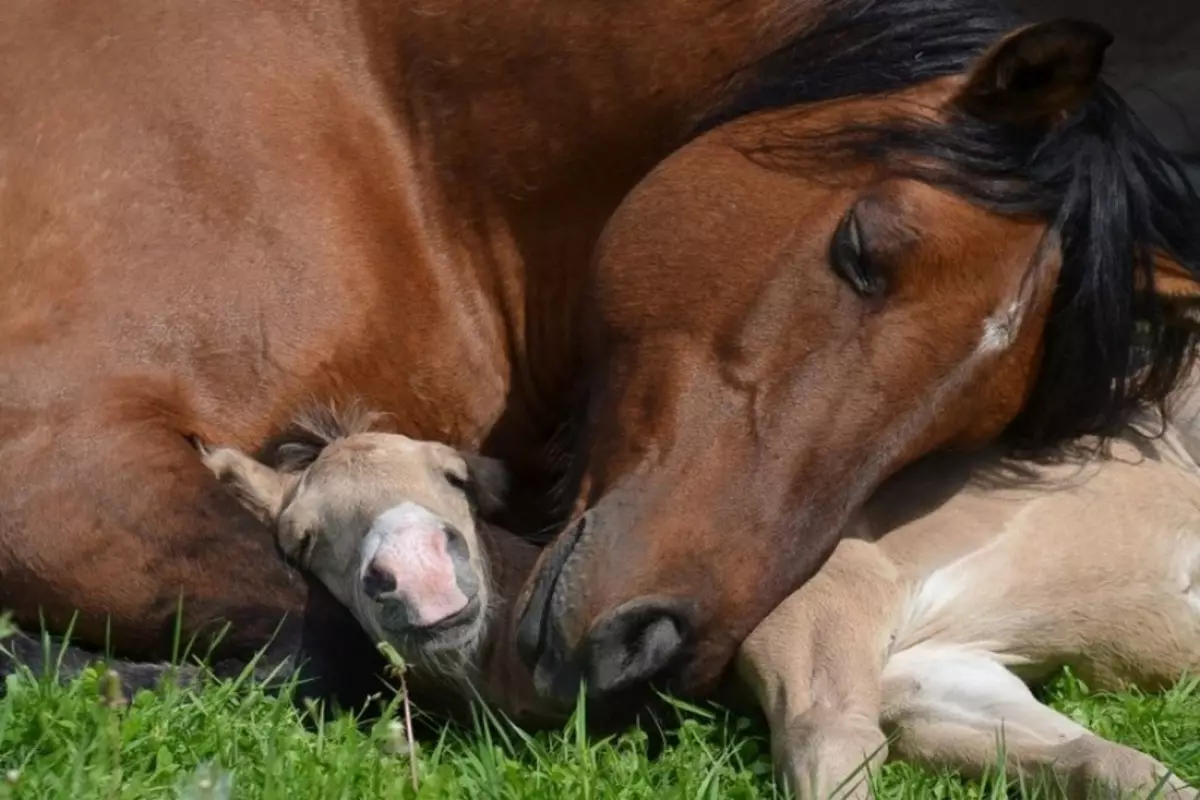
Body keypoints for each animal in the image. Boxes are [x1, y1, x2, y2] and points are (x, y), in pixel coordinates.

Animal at [0, 0, 1195, 719]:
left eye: (969, 428)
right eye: (863, 250)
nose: (648, 648)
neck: (379, 114)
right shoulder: (60, 473)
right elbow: (334, 636)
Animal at [204, 407, 1200, 800]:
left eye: (451, 477)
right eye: (300, 538)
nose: (420, 579)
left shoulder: (825, 609)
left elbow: (829, 750)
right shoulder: (931, 681)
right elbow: (1107, 763)